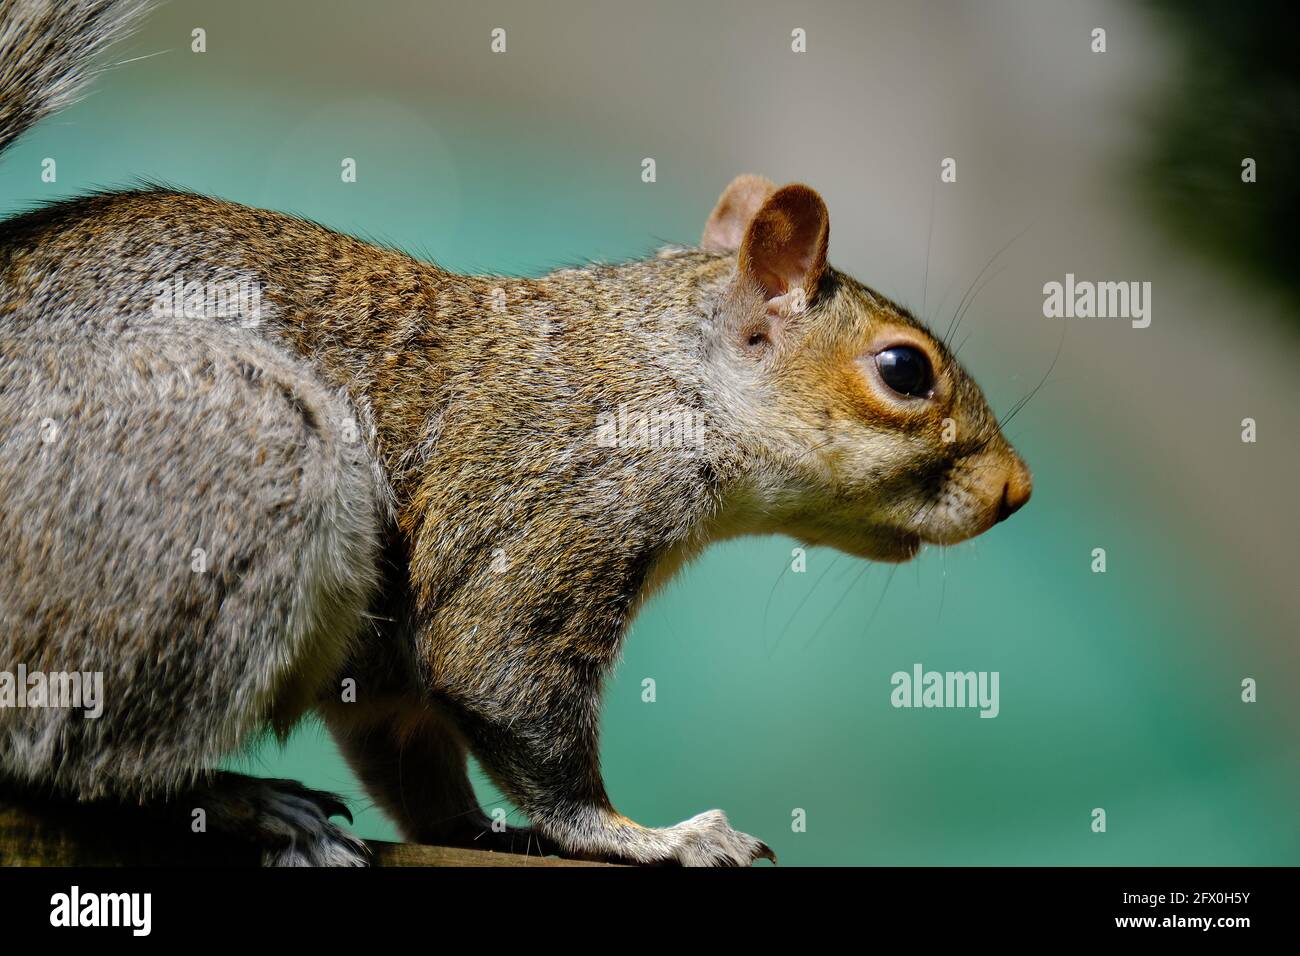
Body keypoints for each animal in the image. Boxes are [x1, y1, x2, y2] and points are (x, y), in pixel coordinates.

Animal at [0, 0, 1030, 866]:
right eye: (904, 371)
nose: (1016, 490)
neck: (666, 373)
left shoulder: (390, 677)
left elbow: (407, 749)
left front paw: (477, 829)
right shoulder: (567, 508)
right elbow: (497, 671)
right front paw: (645, 836)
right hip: (235, 468)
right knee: (83, 764)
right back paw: (241, 804)